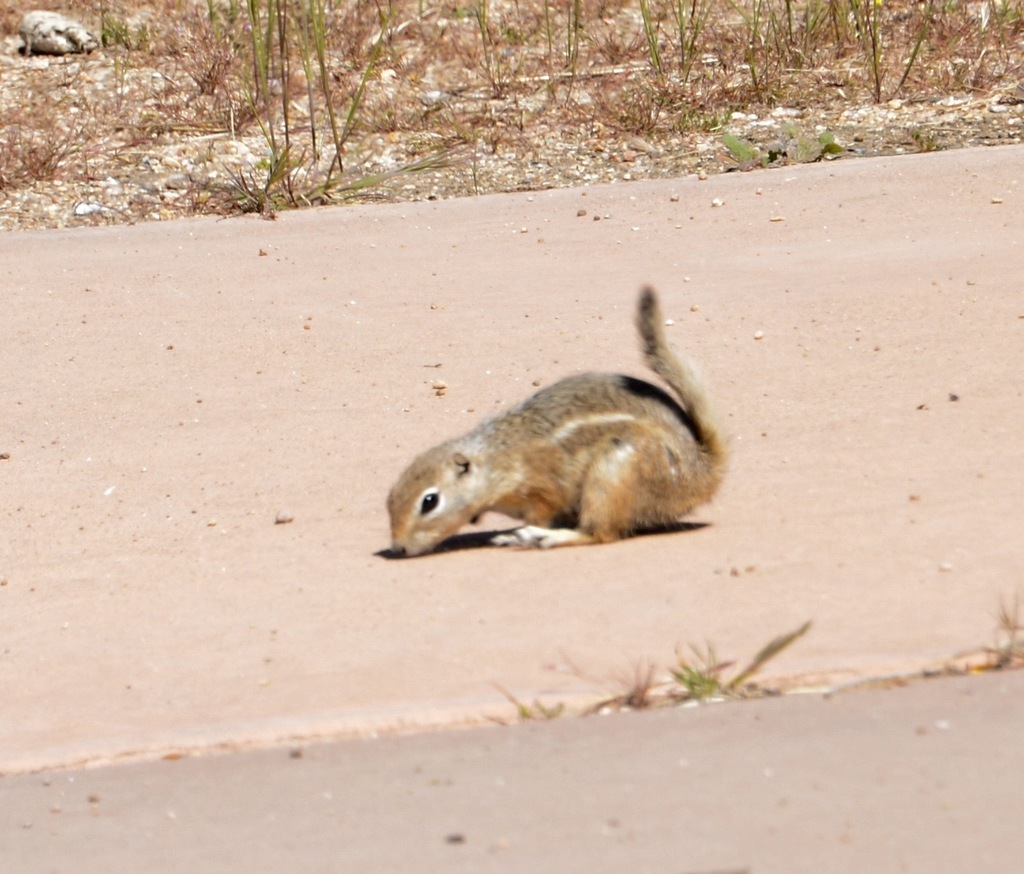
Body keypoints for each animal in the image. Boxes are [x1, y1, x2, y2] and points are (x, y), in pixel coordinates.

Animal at [386, 287, 726, 556]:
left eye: (429, 502)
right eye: (389, 498)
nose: (398, 548)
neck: (498, 459)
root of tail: (704, 471)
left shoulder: (543, 493)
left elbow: (545, 512)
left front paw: (522, 533)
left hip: (613, 473)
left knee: (601, 534)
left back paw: (544, 537)